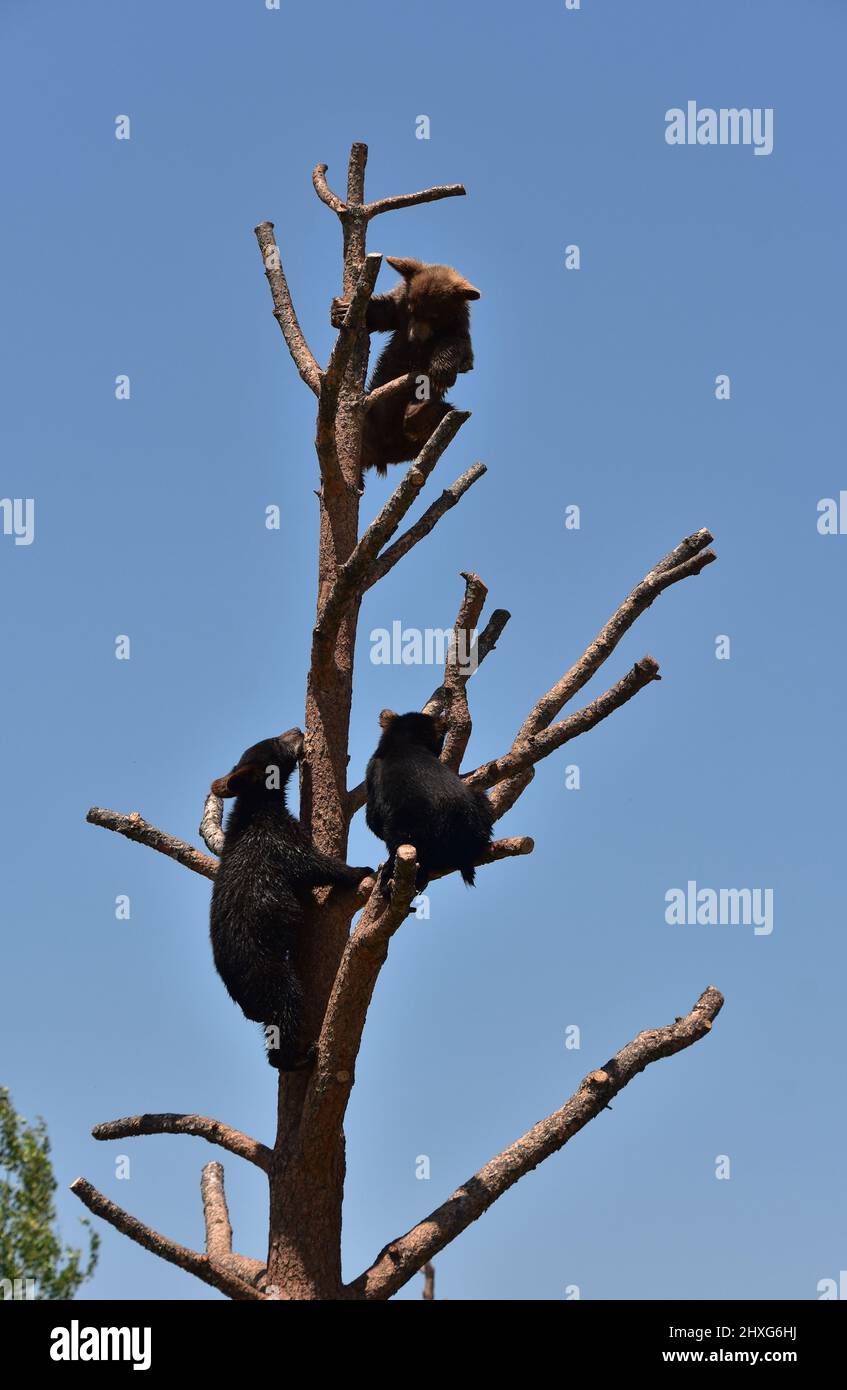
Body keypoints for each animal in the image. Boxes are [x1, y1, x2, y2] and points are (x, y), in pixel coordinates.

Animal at [209, 728, 373, 1070]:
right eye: (275, 742)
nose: (297, 730)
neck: (259, 805)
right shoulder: (275, 839)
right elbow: (310, 864)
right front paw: (358, 870)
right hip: (269, 972)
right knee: (285, 1008)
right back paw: (297, 1057)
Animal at [331, 257, 480, 479]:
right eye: (412, 309)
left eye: (434, 315)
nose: (414, 337)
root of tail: (381, 455)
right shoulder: (399, 309)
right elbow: (380, 313)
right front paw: (341, 309)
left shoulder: (458, 328)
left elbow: (458, 347)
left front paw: (441, 370)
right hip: (369, 419)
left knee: (443, 413)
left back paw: (417, 413)